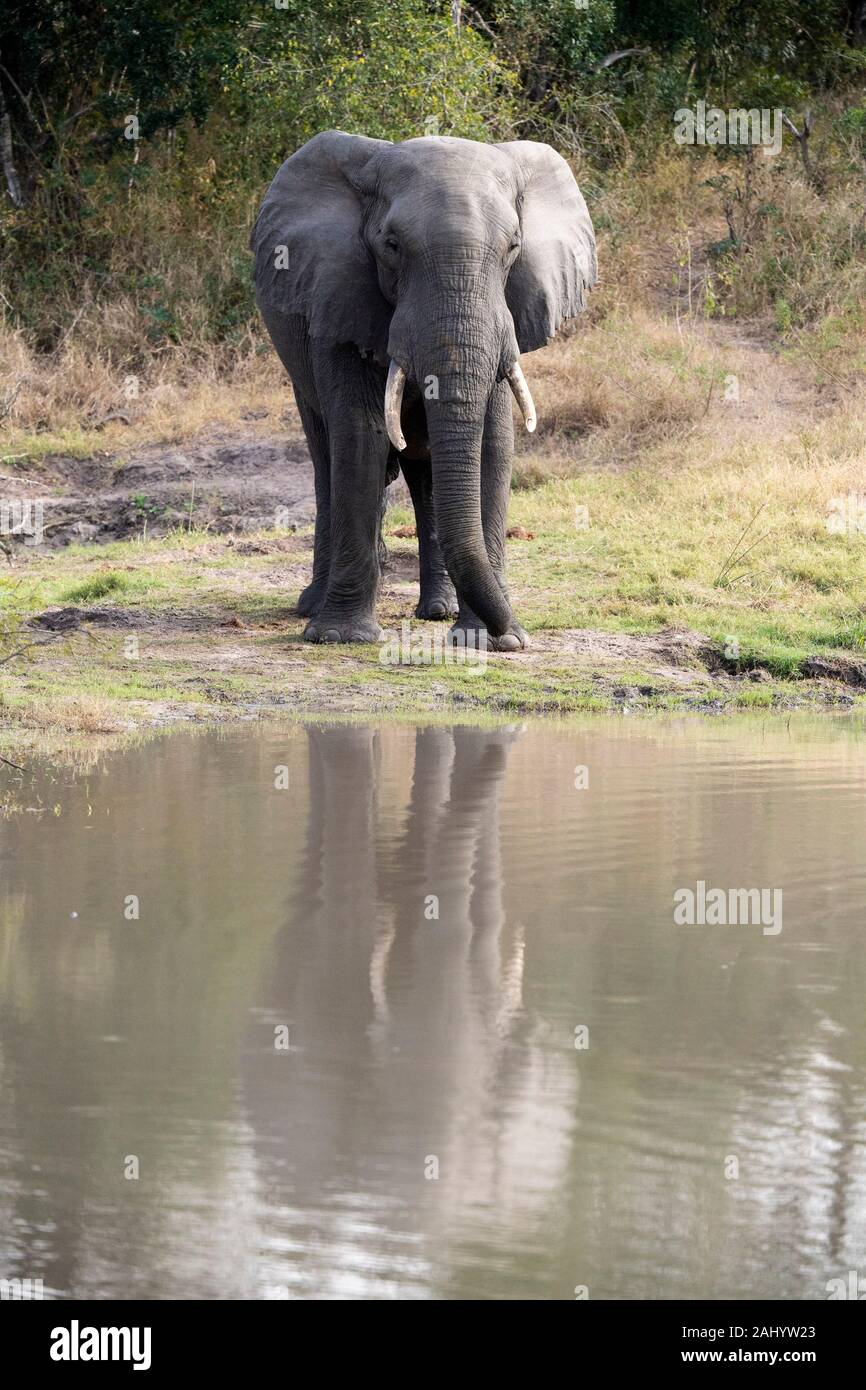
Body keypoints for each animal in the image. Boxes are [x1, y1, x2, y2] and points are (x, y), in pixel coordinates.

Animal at [251, 131, 596, 650]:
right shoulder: (338, 298)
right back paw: (313, 608)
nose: (510, 633)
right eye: (391, 245)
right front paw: (341, 637)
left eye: (513, 247)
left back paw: (439, 610)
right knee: (326, 456)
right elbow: (362, 436)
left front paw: (488, 640)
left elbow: (492, 444)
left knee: (425, 472)